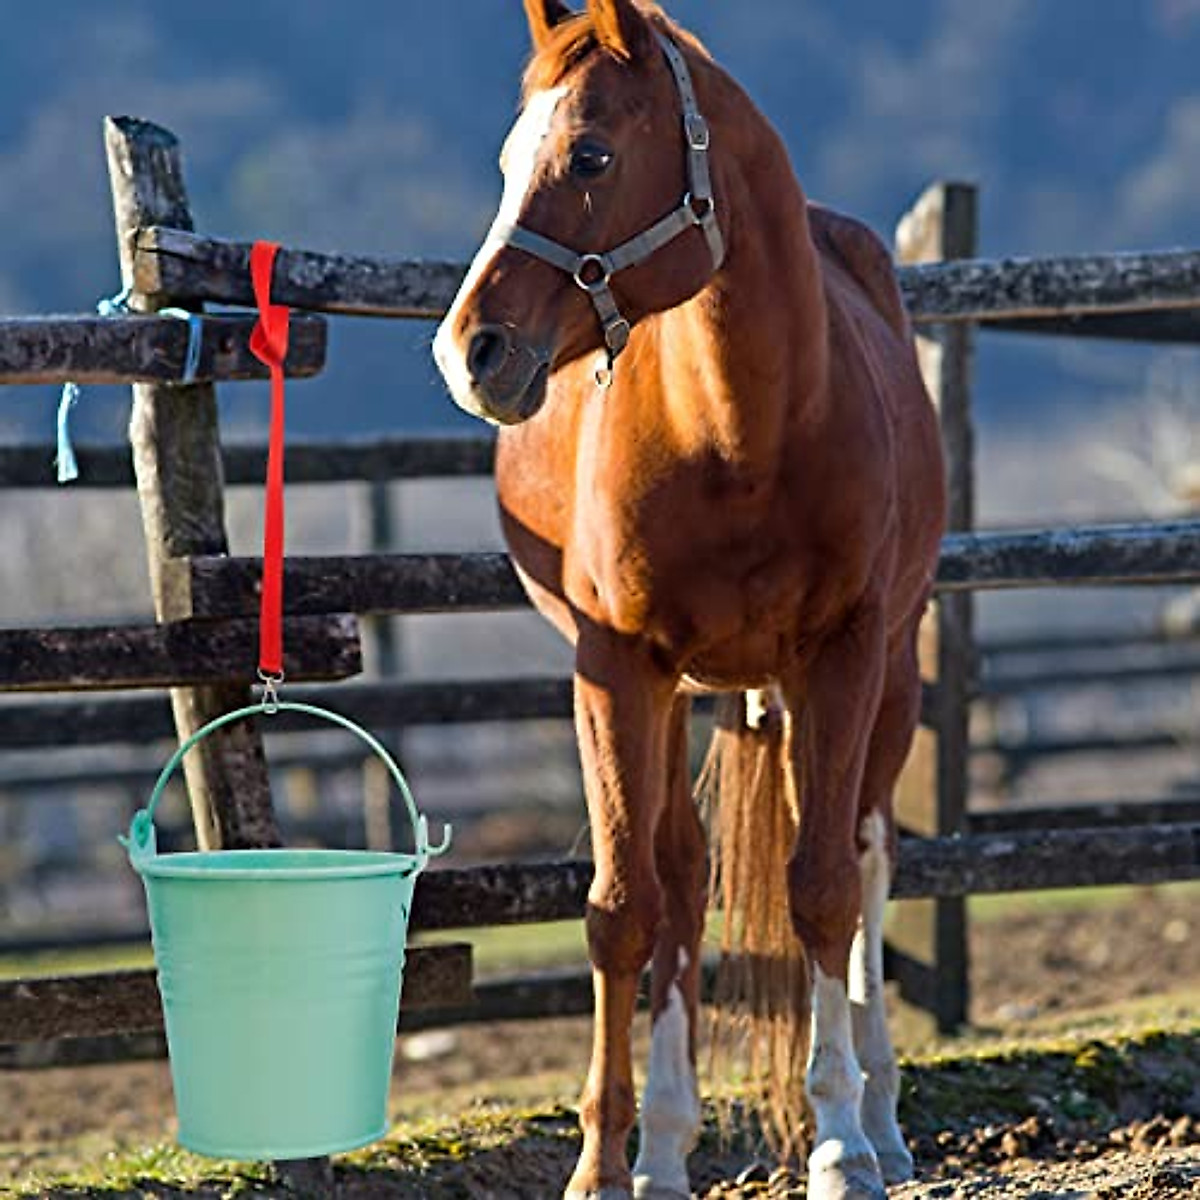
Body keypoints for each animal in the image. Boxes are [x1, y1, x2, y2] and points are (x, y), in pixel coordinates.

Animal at [432, 3, 946, 1198]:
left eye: (590, 156)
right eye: (507, 163)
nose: (470, 350)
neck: (740, 432)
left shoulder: (842, 657)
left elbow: (822, 888)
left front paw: (838, 1142)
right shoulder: (616, 666)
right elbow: (626, 909)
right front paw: (602, 1162)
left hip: (887, 676)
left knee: (867, 855)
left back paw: (882, 1117)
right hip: (679, 694)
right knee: (678, 873)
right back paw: (665, 1148)